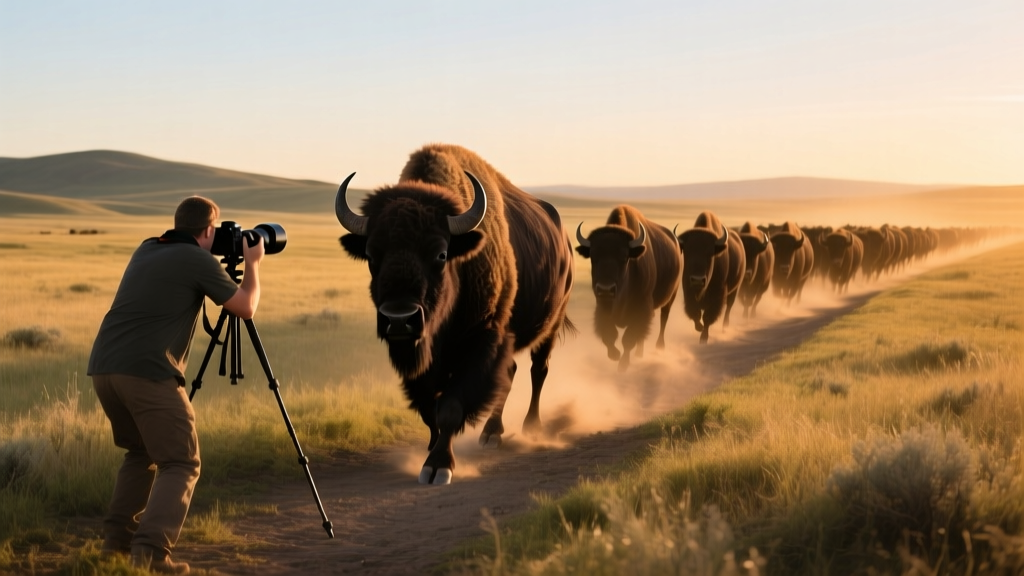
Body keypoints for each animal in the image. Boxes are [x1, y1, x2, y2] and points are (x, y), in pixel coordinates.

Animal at [336, 144, 575, 484]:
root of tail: (565, 239)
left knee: (537, 370)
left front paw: (438, 466)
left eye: (440, 254)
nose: (399, 320)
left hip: (550, 326)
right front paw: (431, 447)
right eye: (371, 255)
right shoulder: (421, 359)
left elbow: (450, 407)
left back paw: (530, 427)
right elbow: (428, 406)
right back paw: (492, 433)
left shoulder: (480, 340)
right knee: (511, 372)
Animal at [575, 205, 682, 371]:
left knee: (664, 318)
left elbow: (628, 338)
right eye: (593, 256)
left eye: (624, 257)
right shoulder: (602, 306)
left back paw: (659, 347)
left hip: (671, 296)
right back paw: (639, 353)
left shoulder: (642, 307)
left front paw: (623, 365)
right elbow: (609, 334)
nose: (606, 289)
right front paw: (614, 355)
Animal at [677, 211, 745, 343]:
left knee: (728, 307)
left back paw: (725, 327)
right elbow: (695, 313)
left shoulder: (717, 297)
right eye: (687, 252)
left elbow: (708, 317)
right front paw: (699, 327)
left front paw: (703, 338)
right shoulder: (688, 292)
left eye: (710, 254)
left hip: (734, 290)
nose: (697, 280)